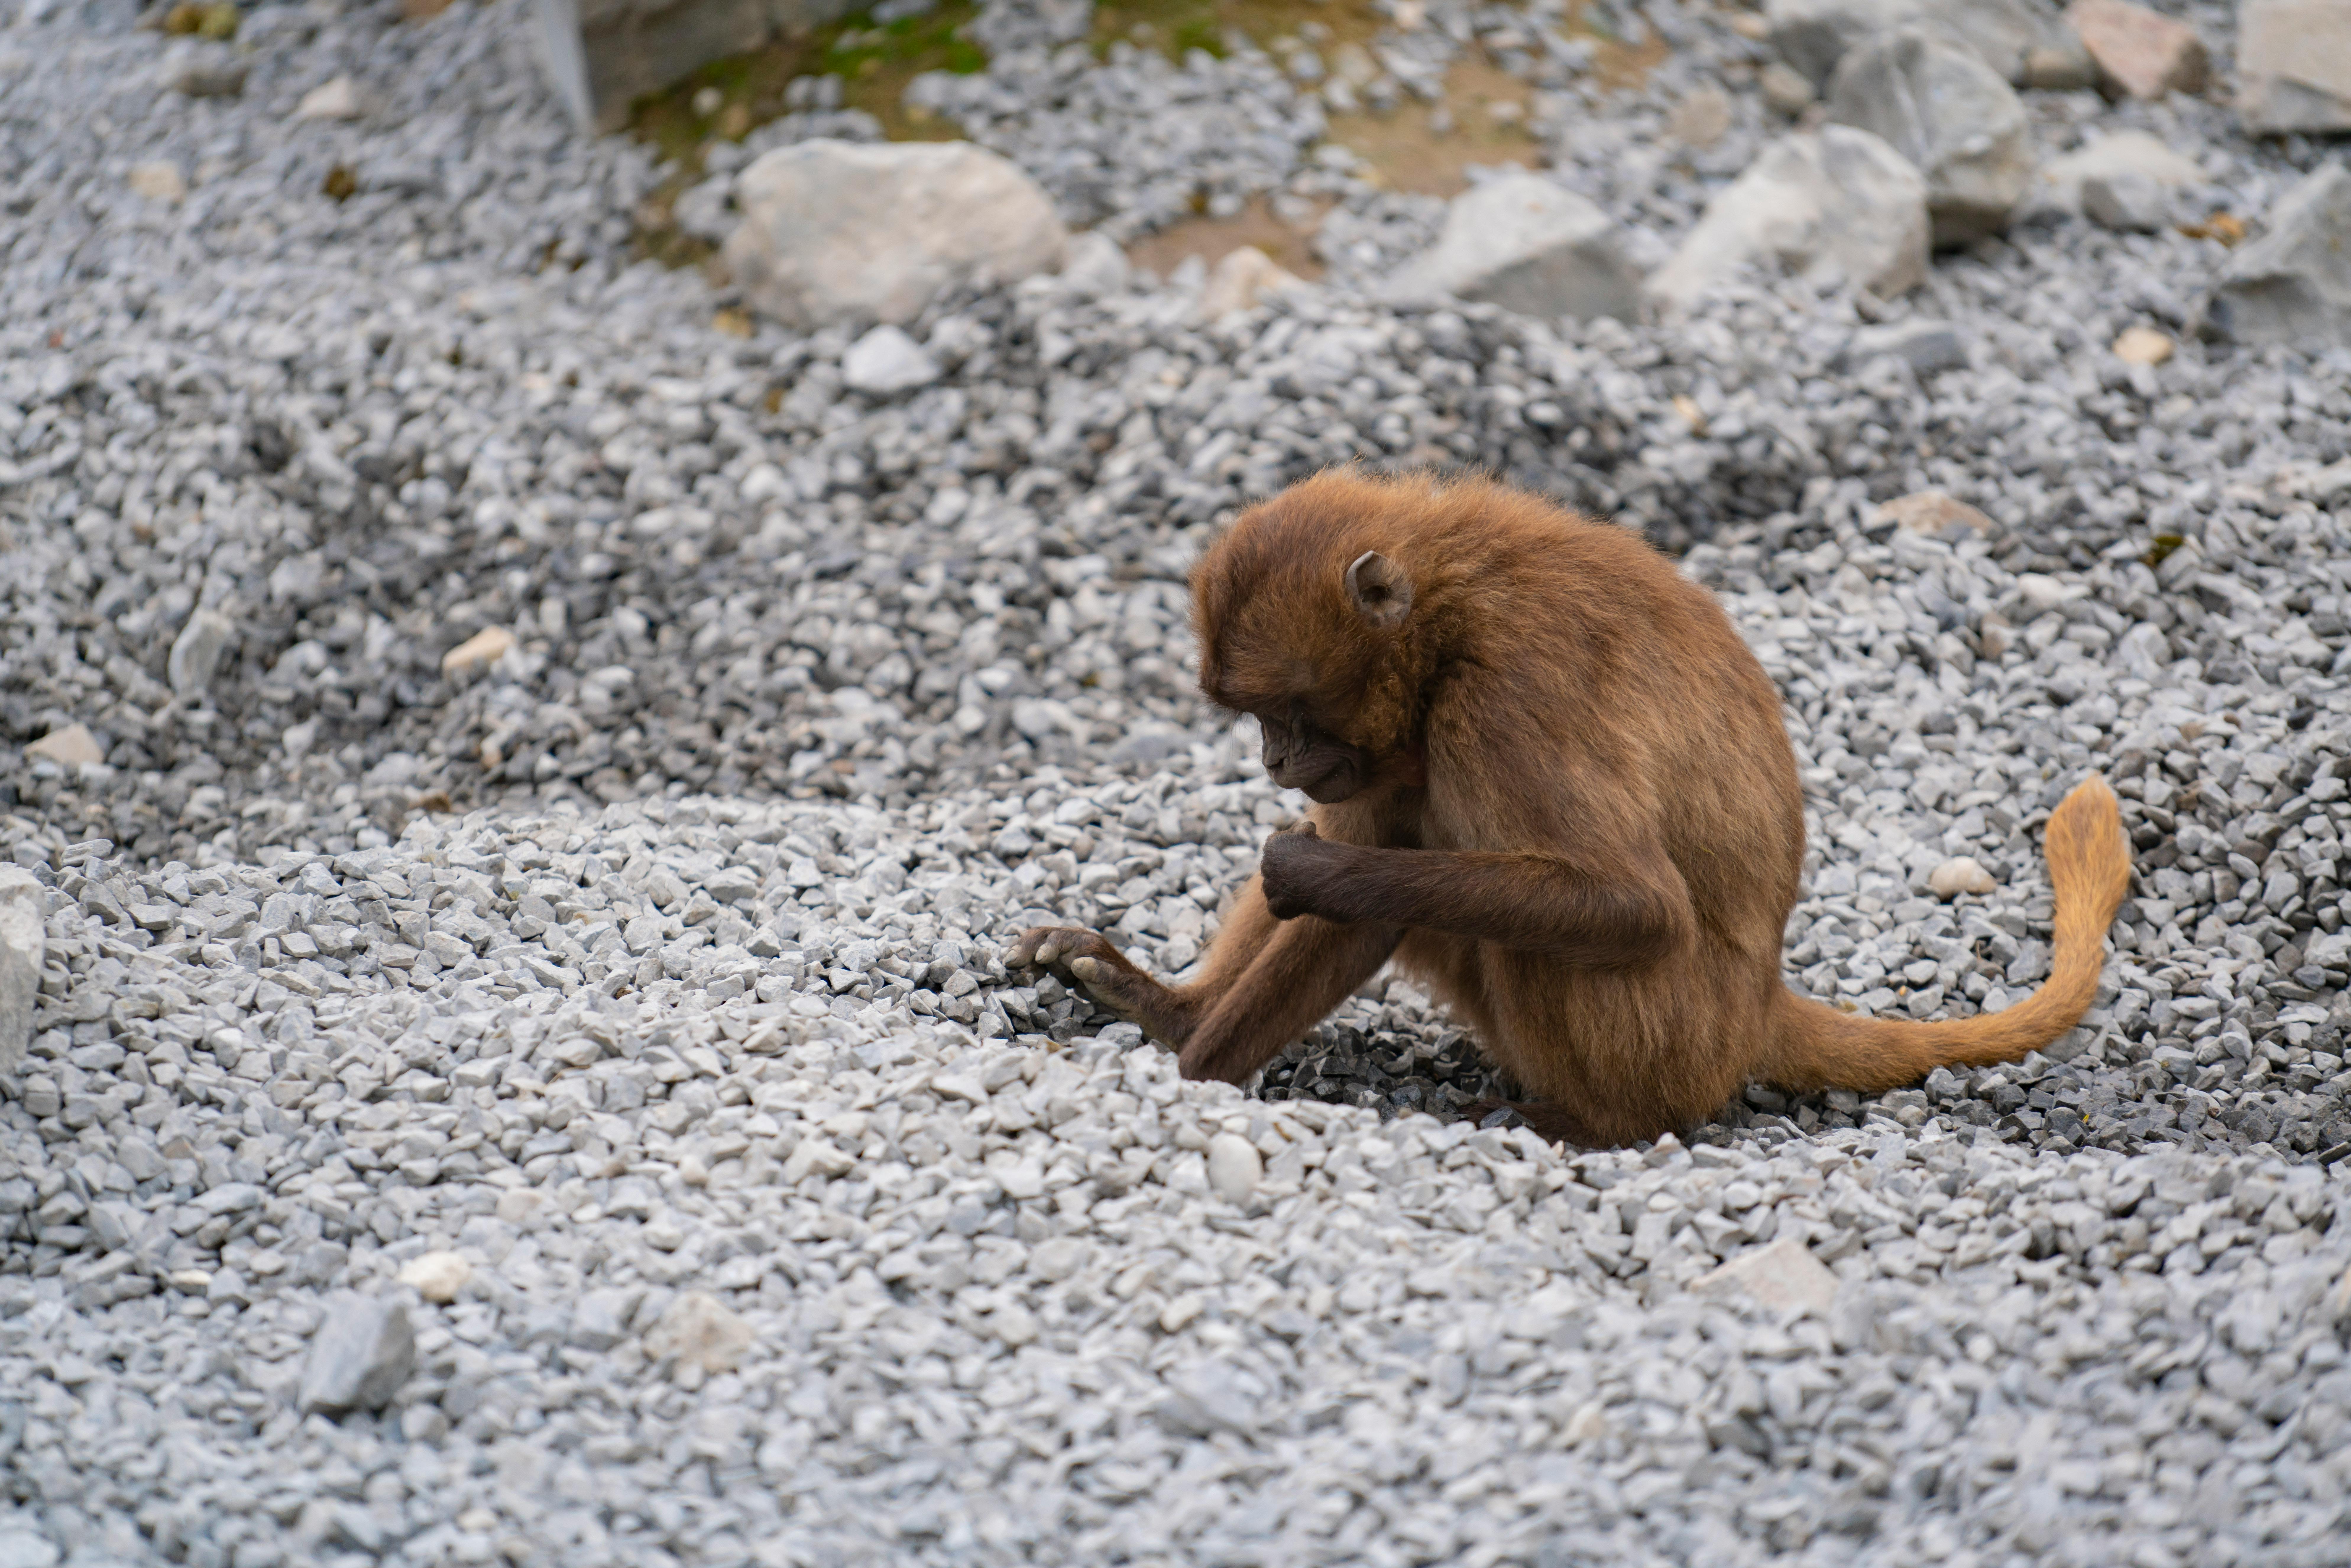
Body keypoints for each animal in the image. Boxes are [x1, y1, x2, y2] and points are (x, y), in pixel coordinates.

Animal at [1007, 469, 2131, 1147]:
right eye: (1253, 719)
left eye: (1285, 713)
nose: (1276, 759)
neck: (1447, 613)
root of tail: (1758, 1003)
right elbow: (1351, 908)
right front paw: (1187, 1044)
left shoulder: (1509, 692)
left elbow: (1630, 905)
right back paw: (1170, 1006)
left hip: (1676, 1036)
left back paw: (1598, 1126)